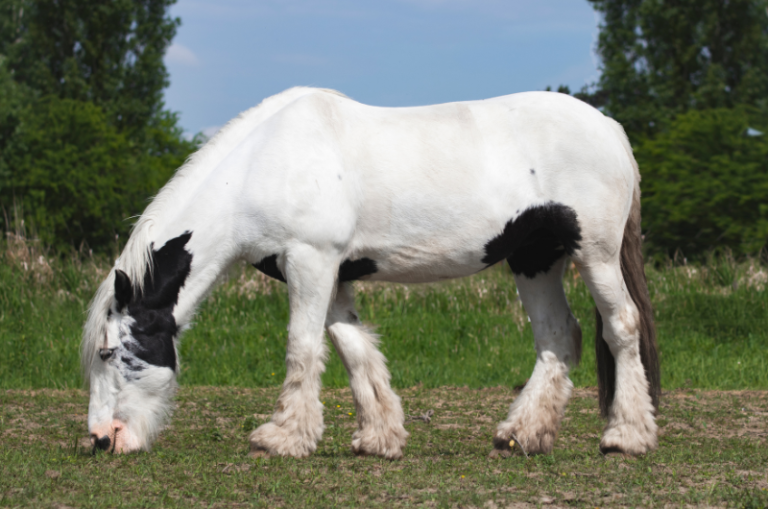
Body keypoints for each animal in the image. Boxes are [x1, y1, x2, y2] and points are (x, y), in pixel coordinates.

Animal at [82, 86, 660, 458]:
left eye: (110, 352)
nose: (102, 439)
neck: (263, 165)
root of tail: (610, 127)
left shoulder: (310, 260)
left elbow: (303, 346)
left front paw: (283, 438)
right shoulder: (333, 272)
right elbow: (353, 348)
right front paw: (379, 439)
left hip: (595, 254)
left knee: (622, 326)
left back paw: (627, 436)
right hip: (534, 260)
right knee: (559, 337)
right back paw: (522, 434)